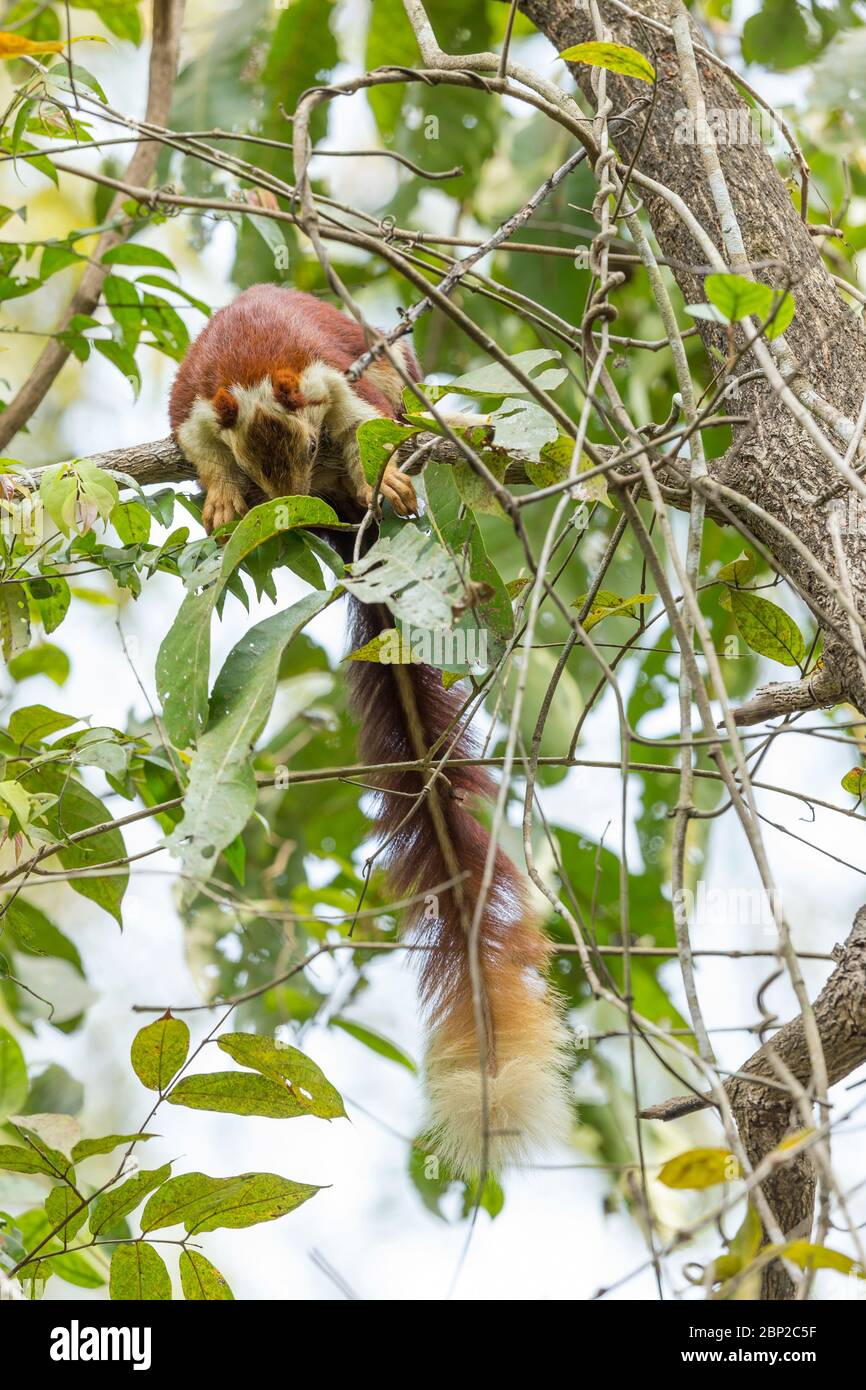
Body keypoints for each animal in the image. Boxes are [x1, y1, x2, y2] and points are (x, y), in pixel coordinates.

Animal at [170, 285, 570, 1178]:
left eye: (307, 444)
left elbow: (368, 423)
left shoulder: (336, 381)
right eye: (258, 470)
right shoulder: (196, 410)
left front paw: (381, 468)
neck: (253, 374)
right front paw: (223, 497)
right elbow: (200, 449)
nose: (296, 502)